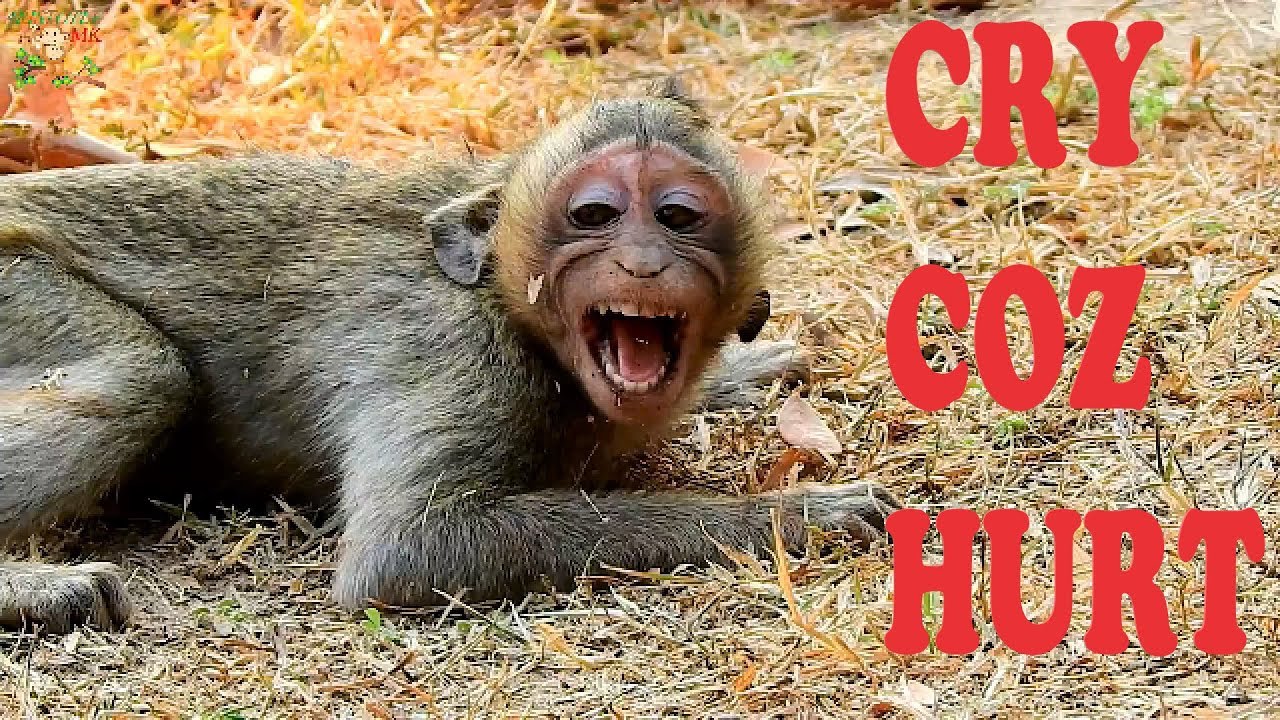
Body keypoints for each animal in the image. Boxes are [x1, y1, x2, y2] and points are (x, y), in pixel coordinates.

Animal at [0, 79, 901, 633]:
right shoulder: (450, 350)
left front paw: (745, 375)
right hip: (15, 288)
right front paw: (792, 516)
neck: (508, 308)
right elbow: (406, 547)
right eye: (596, 214)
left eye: (677, 215)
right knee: (142, 380)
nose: (644, 262)